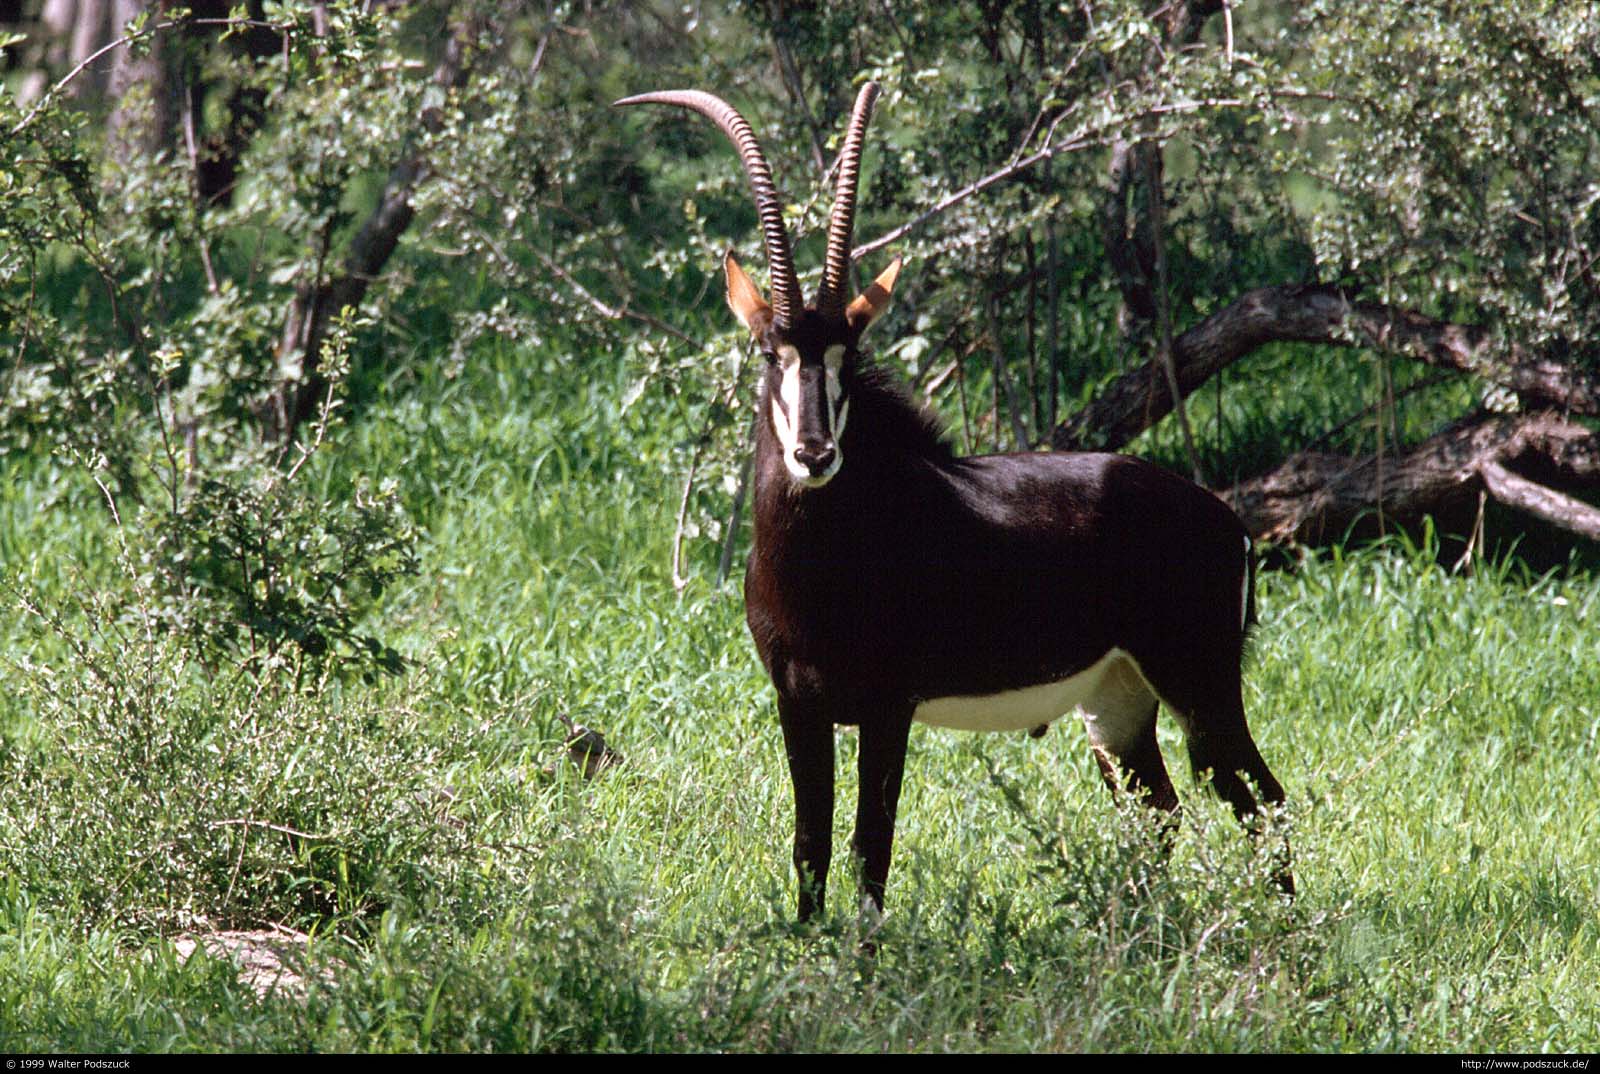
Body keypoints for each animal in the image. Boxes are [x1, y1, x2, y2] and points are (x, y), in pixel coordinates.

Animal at [615, 82, 1290, 922]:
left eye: (847, 356)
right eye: (772, 354)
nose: (815, 455)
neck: (819, 561)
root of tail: (1226, 521)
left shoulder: (887, 706)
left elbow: (870, 849)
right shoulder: (798, 703)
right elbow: (810, 848)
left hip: (1199, 685)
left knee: (1264, 800)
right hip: (1118, 703)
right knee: (1160, 812)